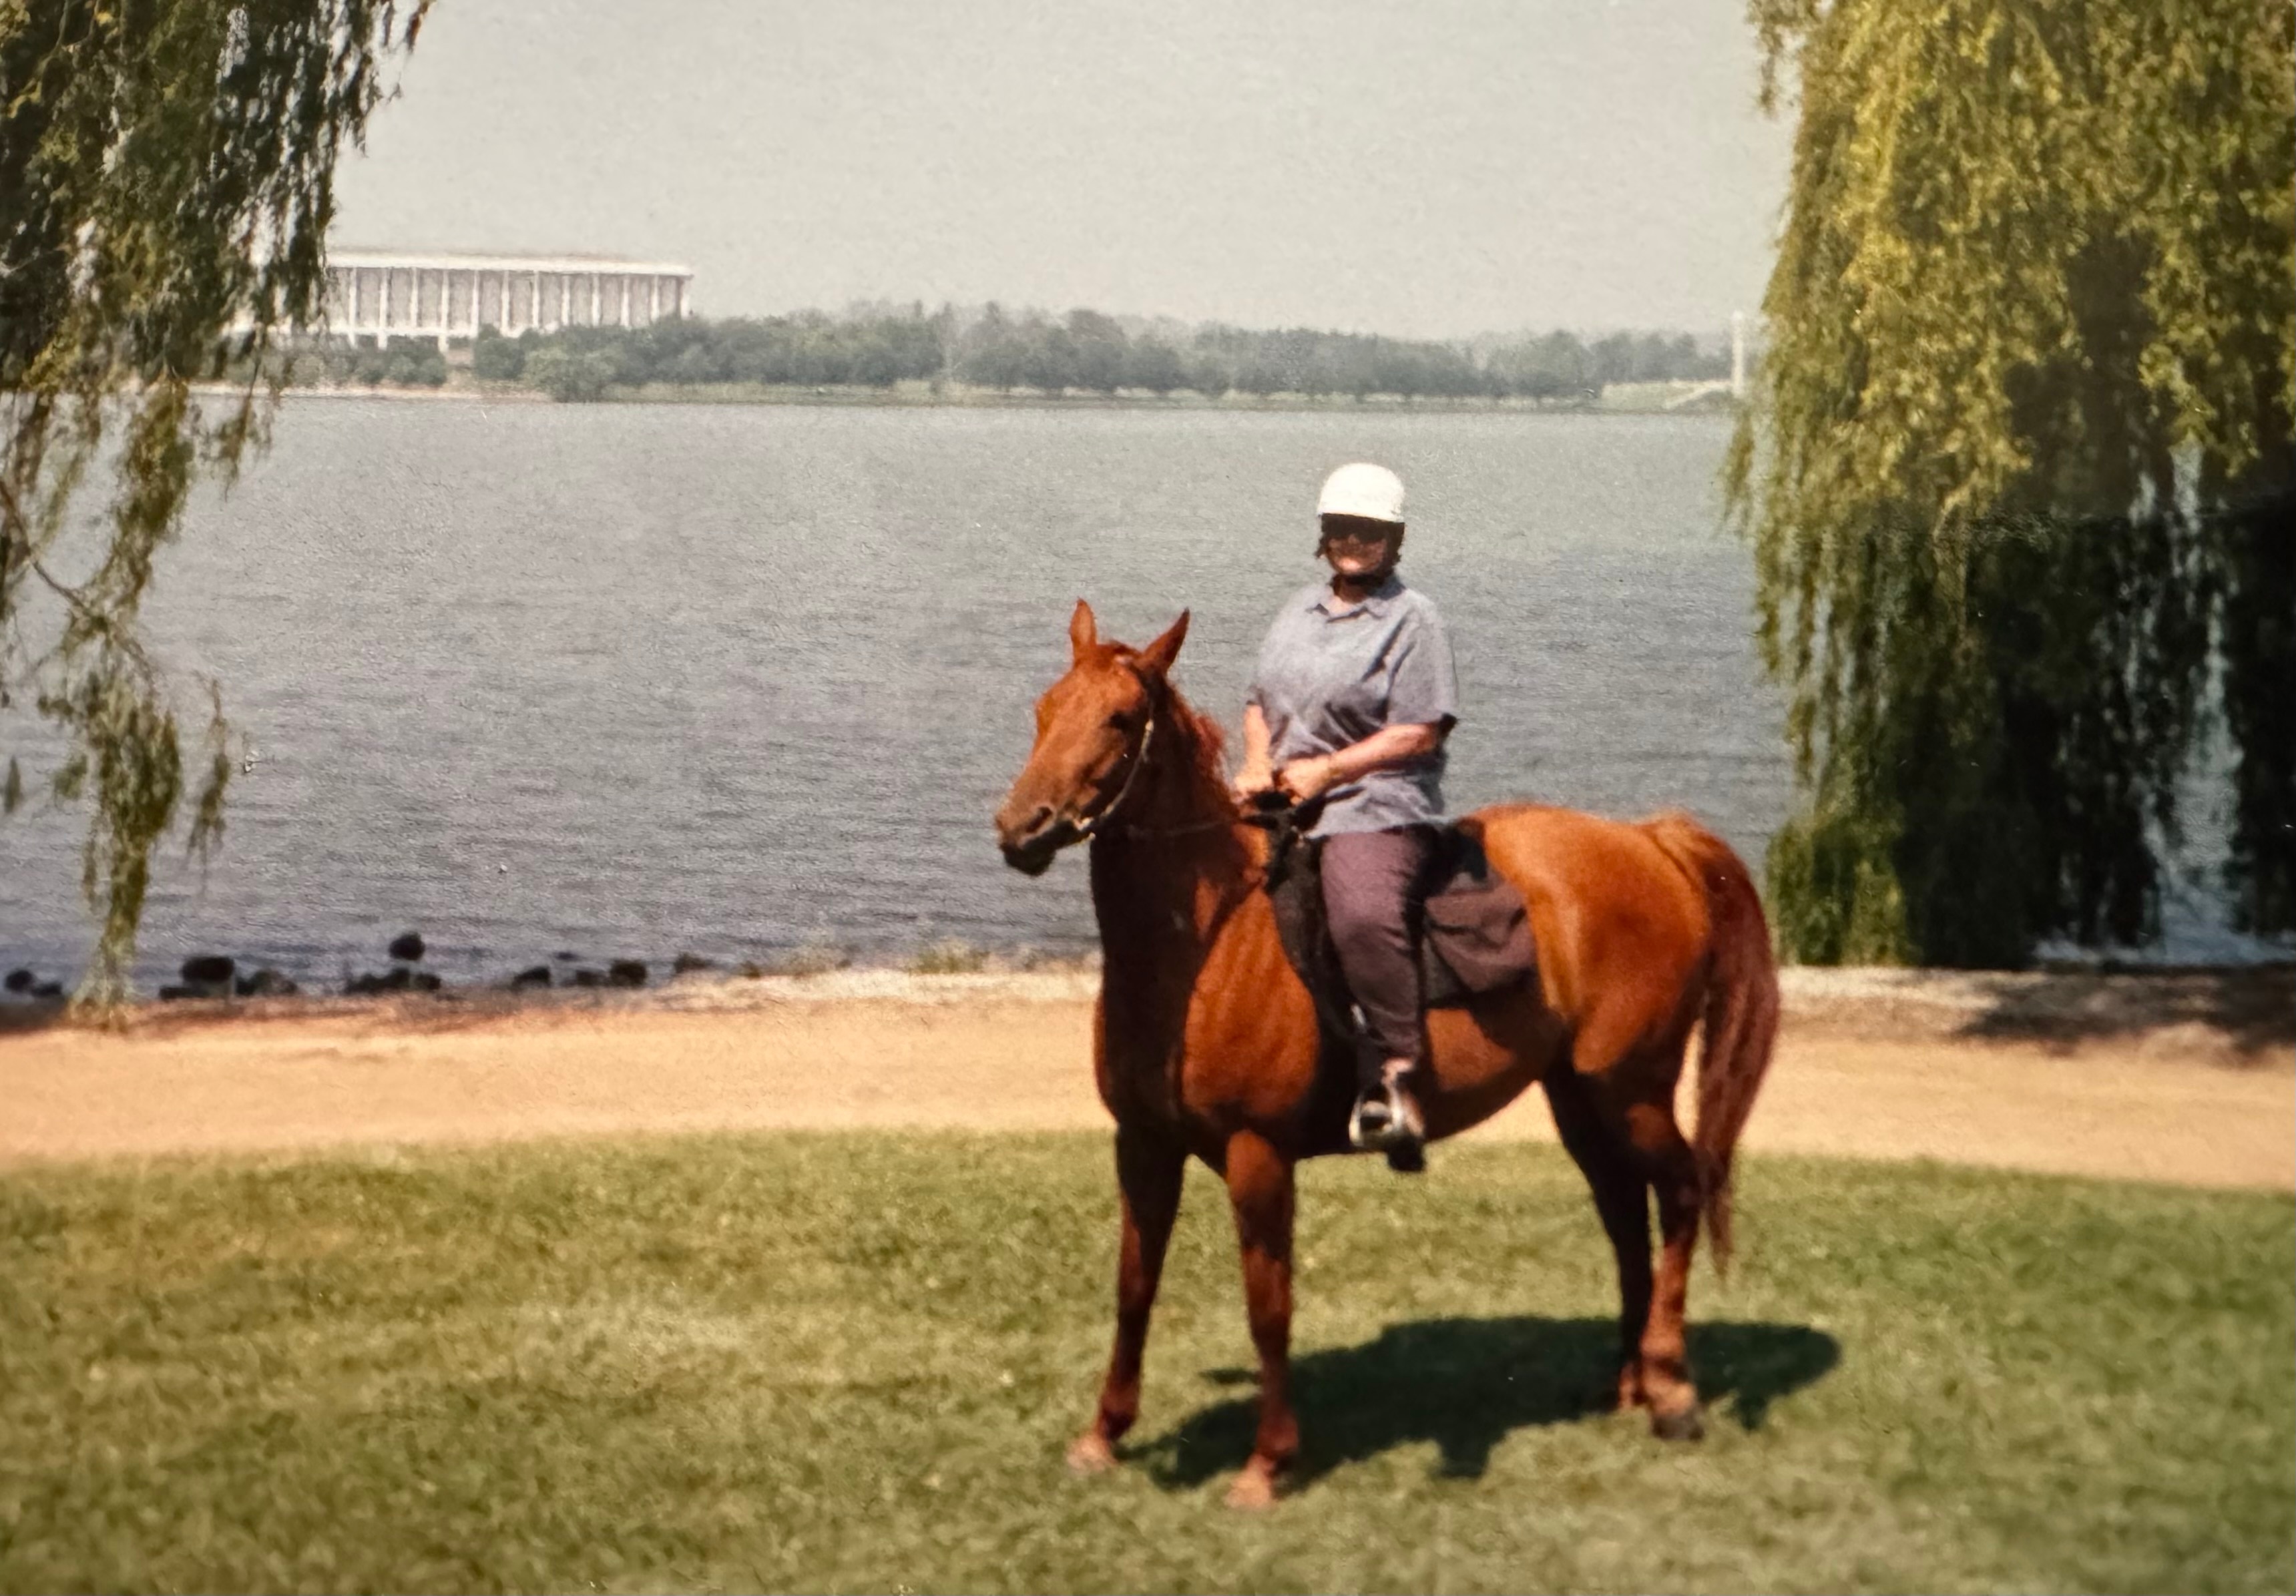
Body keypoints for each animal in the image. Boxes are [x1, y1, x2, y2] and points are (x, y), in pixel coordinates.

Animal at [993, 601, 1779, 1510]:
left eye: (1120, 719)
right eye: (1045, 709)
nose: (1020, 829)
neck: (1211, 944)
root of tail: (1649, 842)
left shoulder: (1259, 1156)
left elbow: (1269, 1304)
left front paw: (1266, 1464)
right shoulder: (1143, 1146)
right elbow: (1133, 1287)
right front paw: (1103, 1435)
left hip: (1635, 1088)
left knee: (1682, 1192)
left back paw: (1672, 1390)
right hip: (1580, 1096)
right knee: (1624, 1214)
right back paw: (1629, 1385)